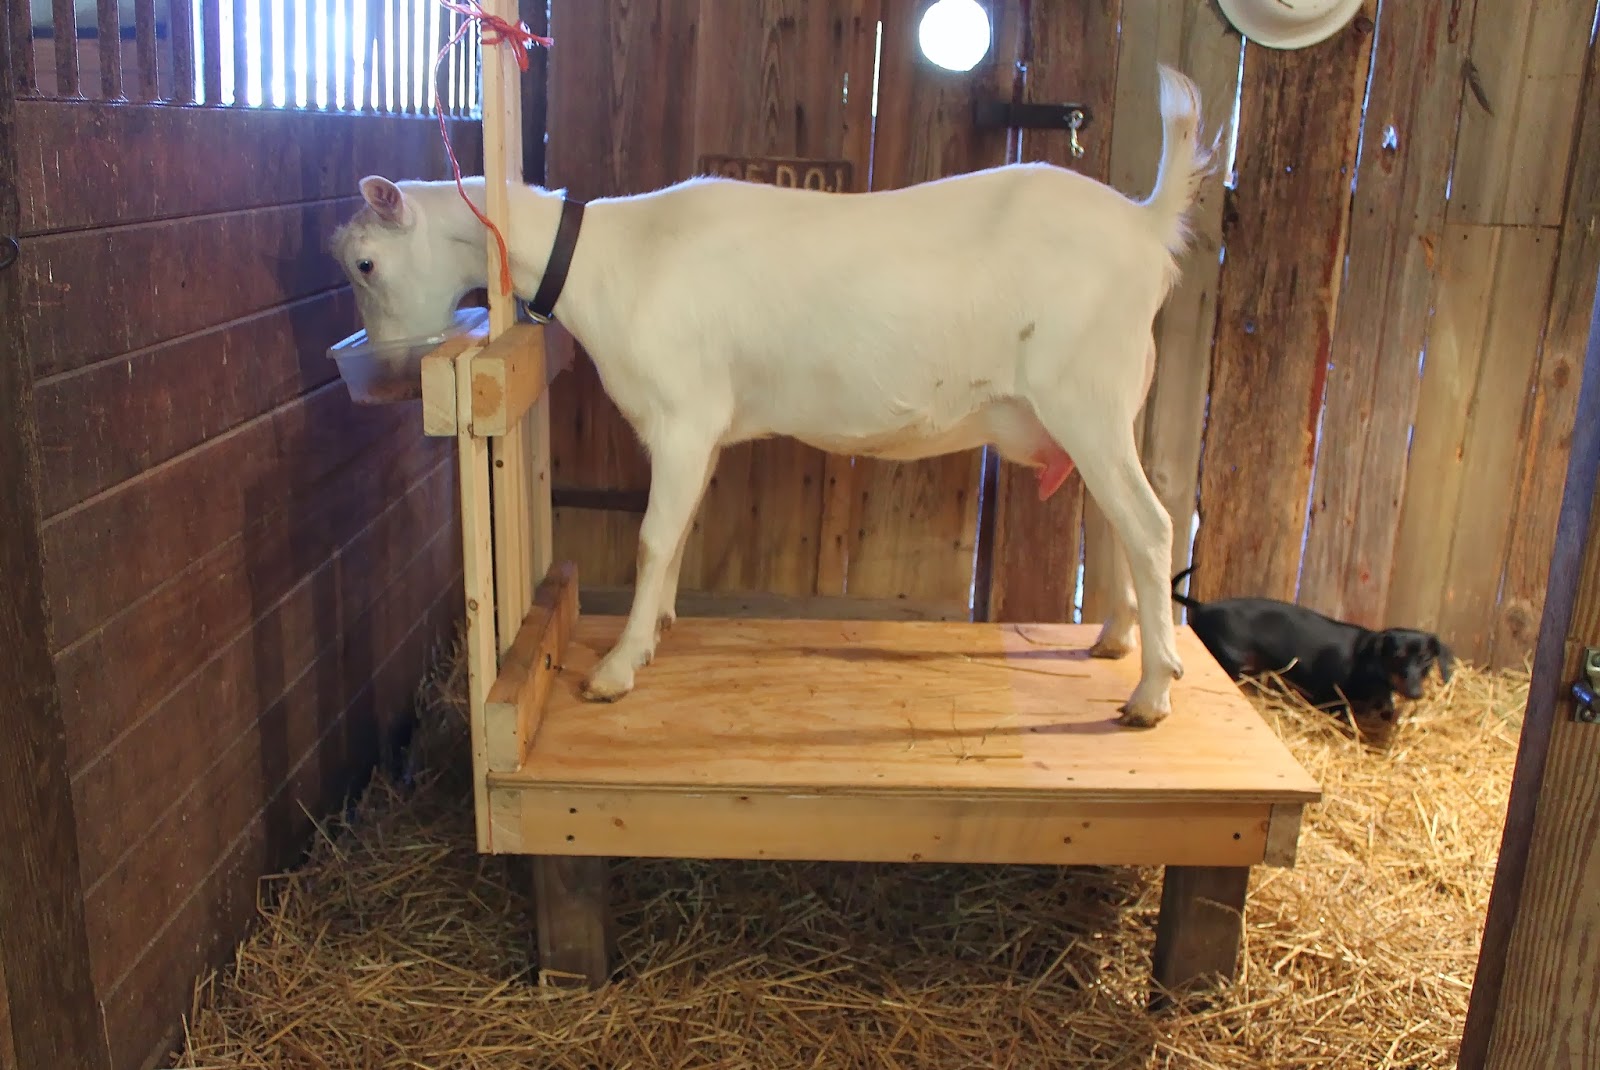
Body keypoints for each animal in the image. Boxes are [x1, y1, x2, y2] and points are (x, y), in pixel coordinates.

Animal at [337, 64, 1209, 726]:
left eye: (365, 265)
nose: (387, 378)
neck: (608, 258)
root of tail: (1145, 223)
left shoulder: (682, 416)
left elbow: (653, 536)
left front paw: (616, 667)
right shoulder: (705, 430)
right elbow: (679, 531)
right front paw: (656, 629)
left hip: (1084, 396)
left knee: (1153, 524)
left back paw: (1150, 693)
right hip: (1105, 409)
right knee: (1123, 527)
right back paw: (1117, 640)